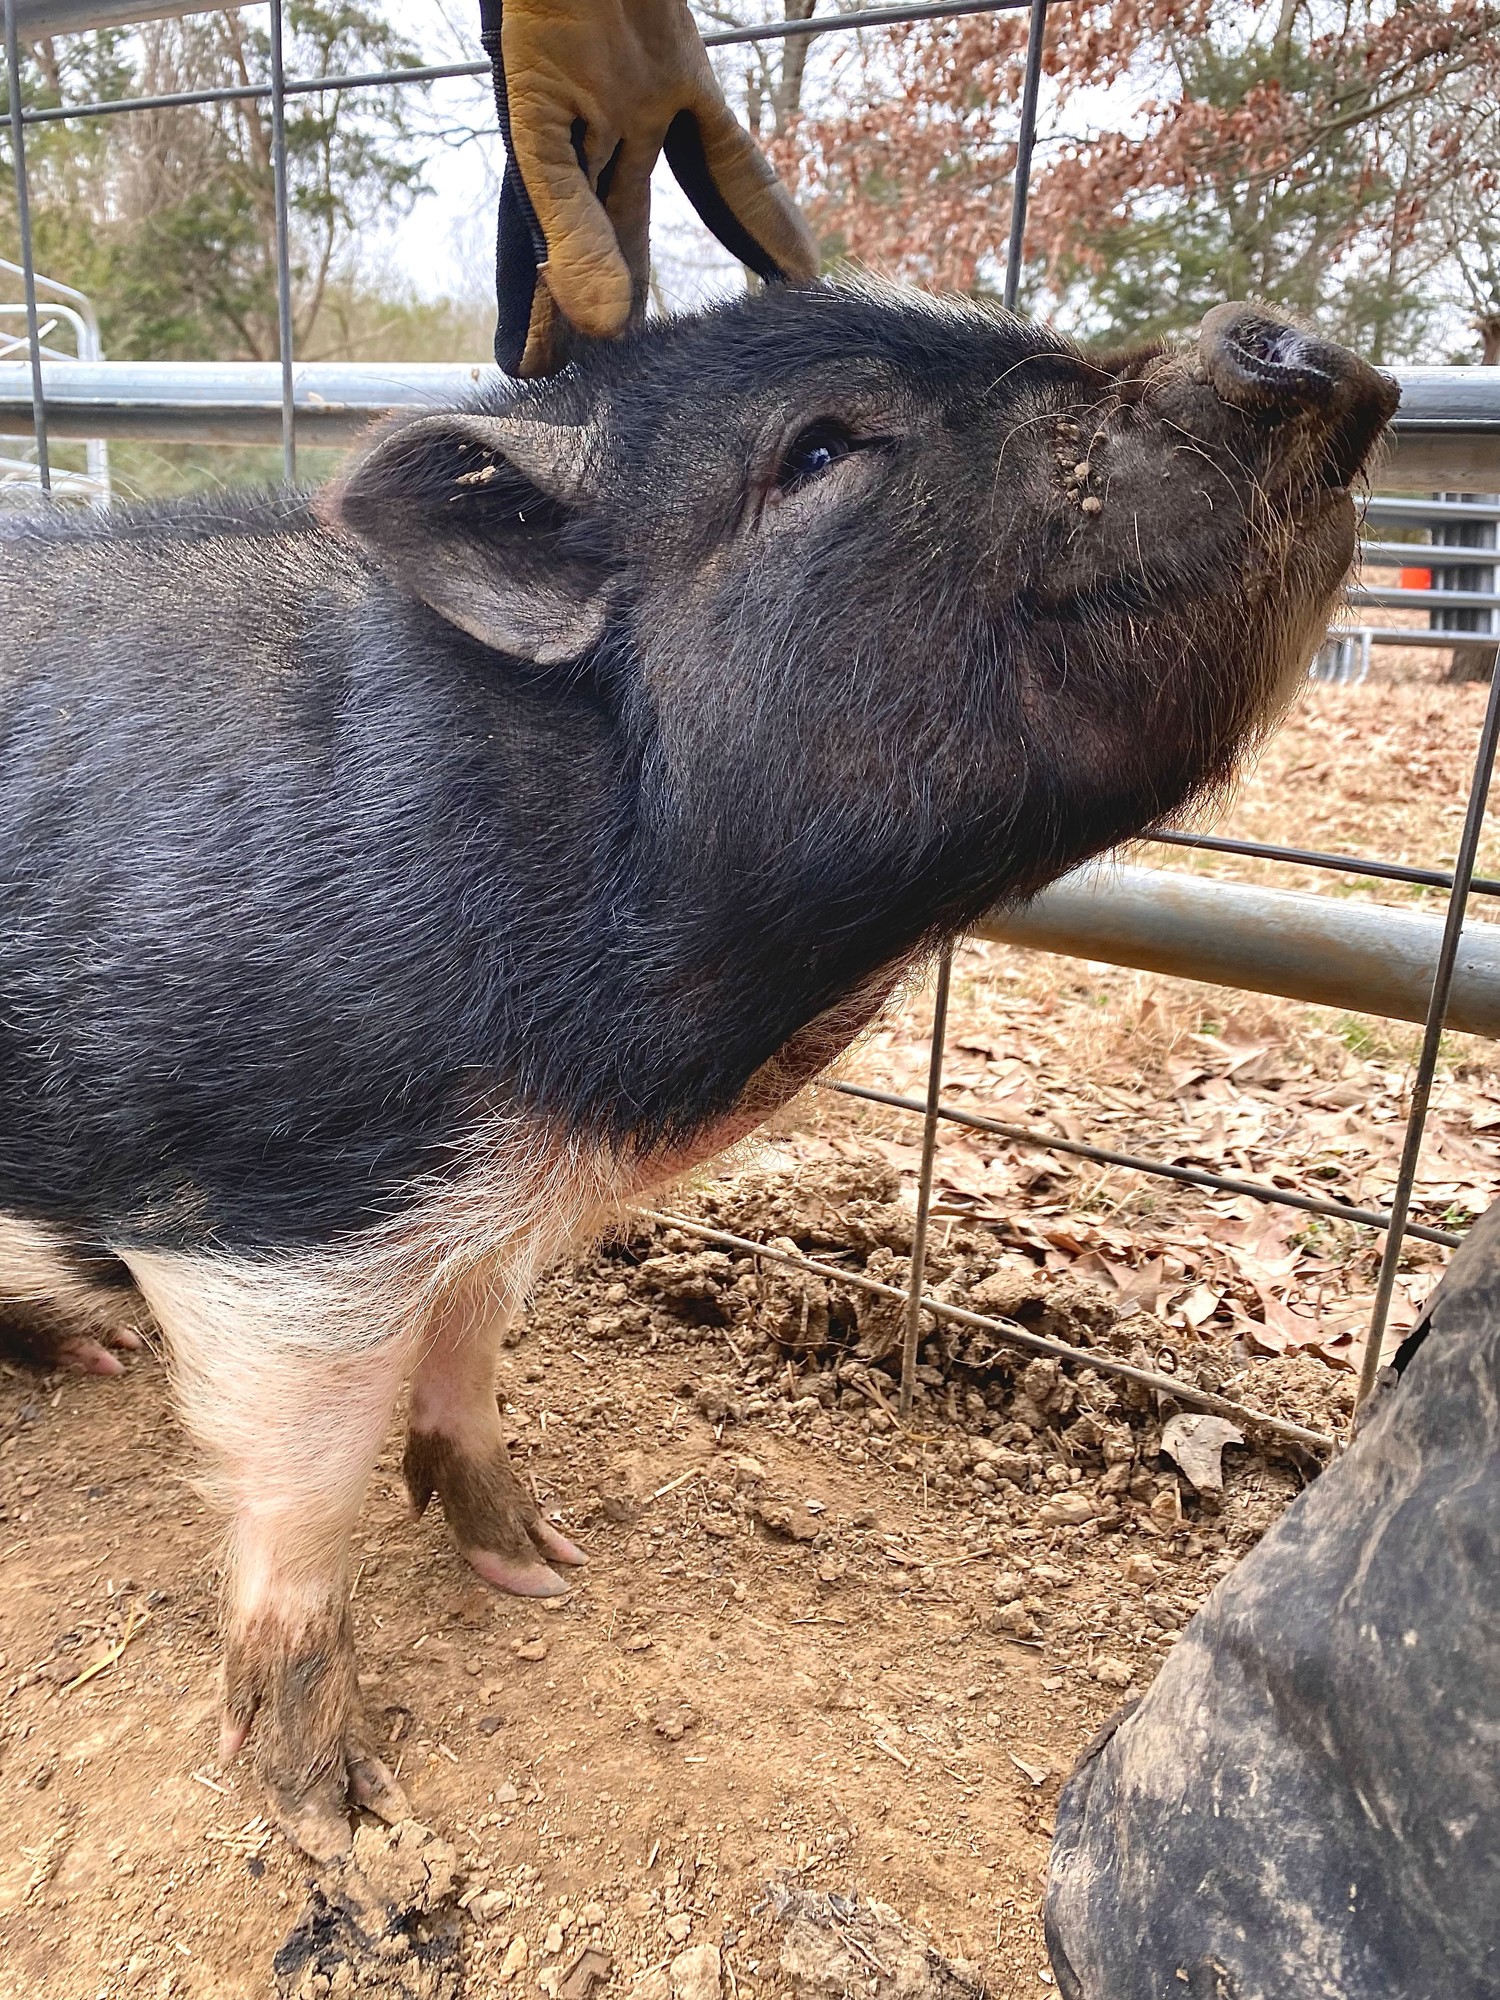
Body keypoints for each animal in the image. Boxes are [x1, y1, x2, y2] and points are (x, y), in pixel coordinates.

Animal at [0, 283, 1396, 1856]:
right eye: (821, 445)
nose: (1282, 341)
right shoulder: (276, 1211)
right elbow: (304, 1496)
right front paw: (339, 1818)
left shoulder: (487, 1203)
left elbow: (470, 1349)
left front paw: (546, 1564)